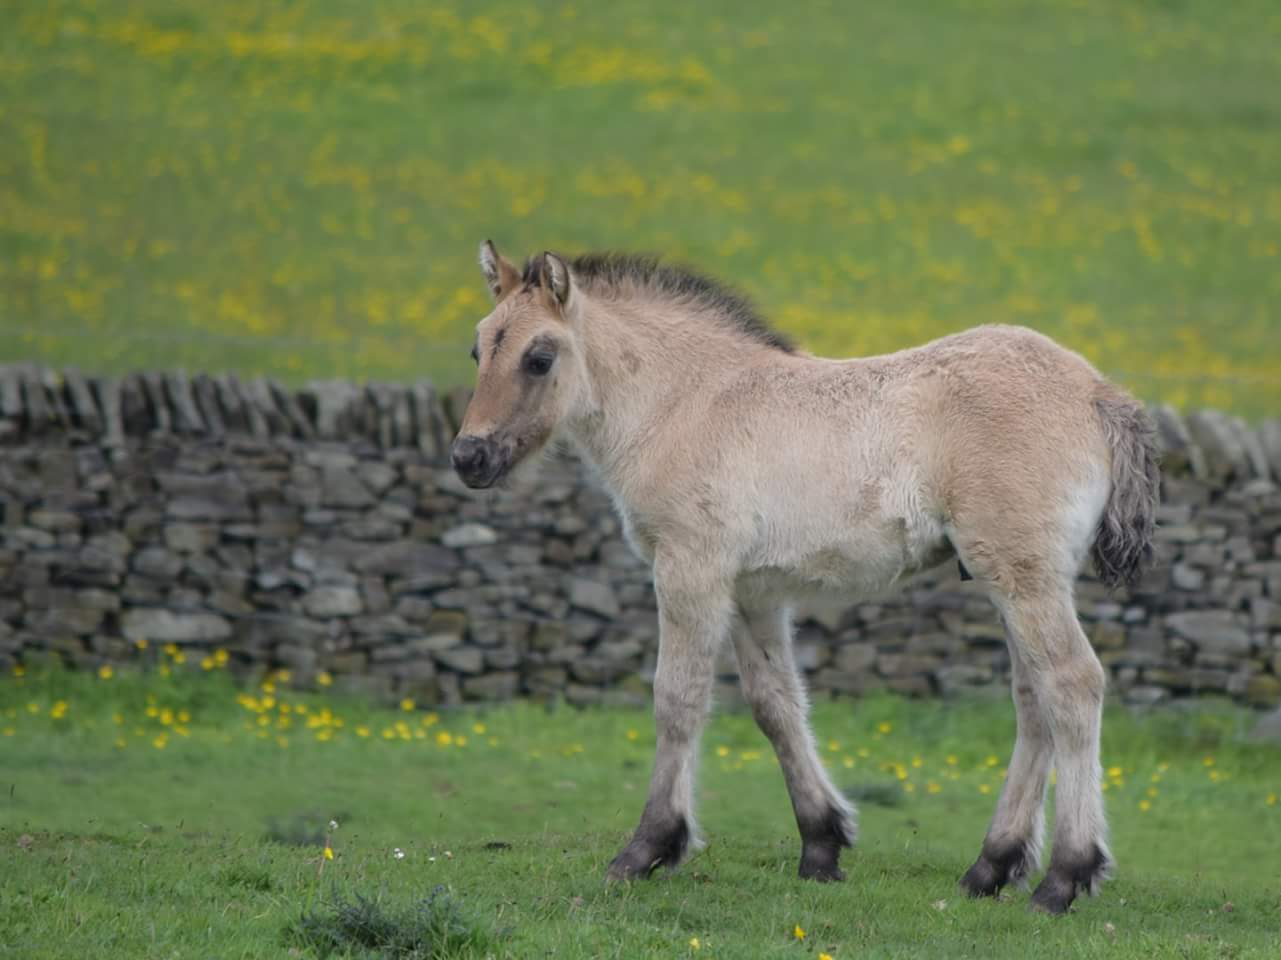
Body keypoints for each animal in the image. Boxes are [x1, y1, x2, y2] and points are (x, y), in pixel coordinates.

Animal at [450, 241, 1159, 914]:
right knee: (1033, 698)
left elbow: (677, 700)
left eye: (540, 357)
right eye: (478, 348)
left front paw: (647, 848)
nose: (468, 457)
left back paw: (1064, 879)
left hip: (1021, 575)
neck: (684, 403)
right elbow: (776, 705)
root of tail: (1098, 393)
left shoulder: (689, 568)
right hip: (1012, 580)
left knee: (1071, 685)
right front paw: (822, 845)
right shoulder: (752, 592)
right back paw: (990, 867)